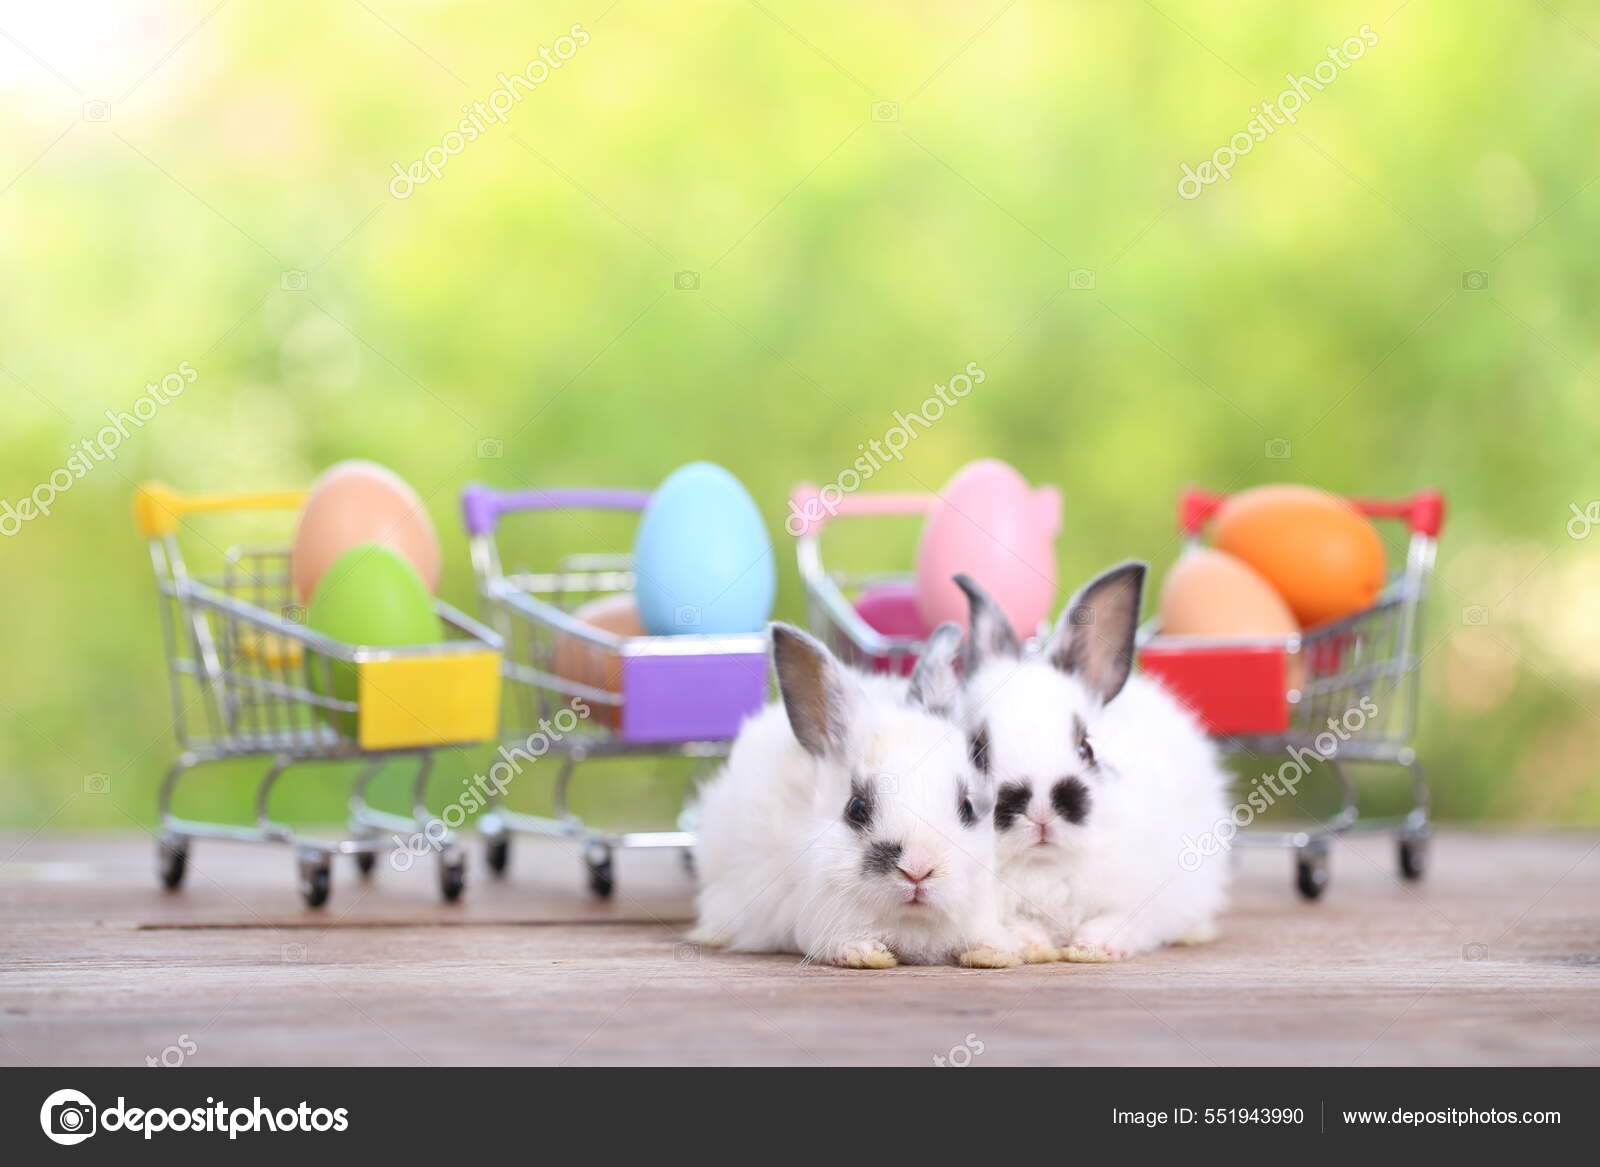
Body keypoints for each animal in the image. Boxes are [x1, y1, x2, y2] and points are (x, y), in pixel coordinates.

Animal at [954, 563, 1232, 962]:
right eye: (977, 751)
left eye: (1086, 748)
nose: (1040, 808)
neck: (1045, 866)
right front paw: (1029, 944)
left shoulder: (1147, 897)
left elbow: (1122, 919)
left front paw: (1094, 945)